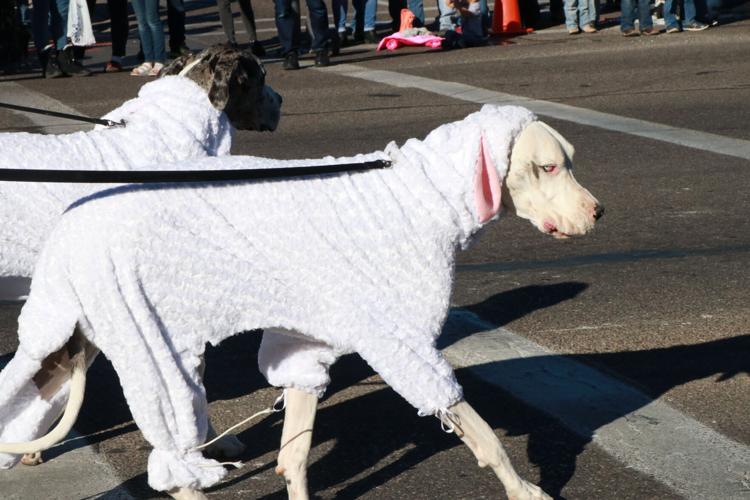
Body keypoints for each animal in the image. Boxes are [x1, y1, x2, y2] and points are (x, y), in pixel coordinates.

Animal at [0, 105, 602, 500]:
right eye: (549, 166)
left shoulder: (304, 344)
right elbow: (478, 431)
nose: (599, 213)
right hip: (148, 339)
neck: (421, 197)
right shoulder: (402, 343)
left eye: (570, 160)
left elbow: (295, 446)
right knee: (173, 452)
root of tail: (68, 228)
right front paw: (524, 488)